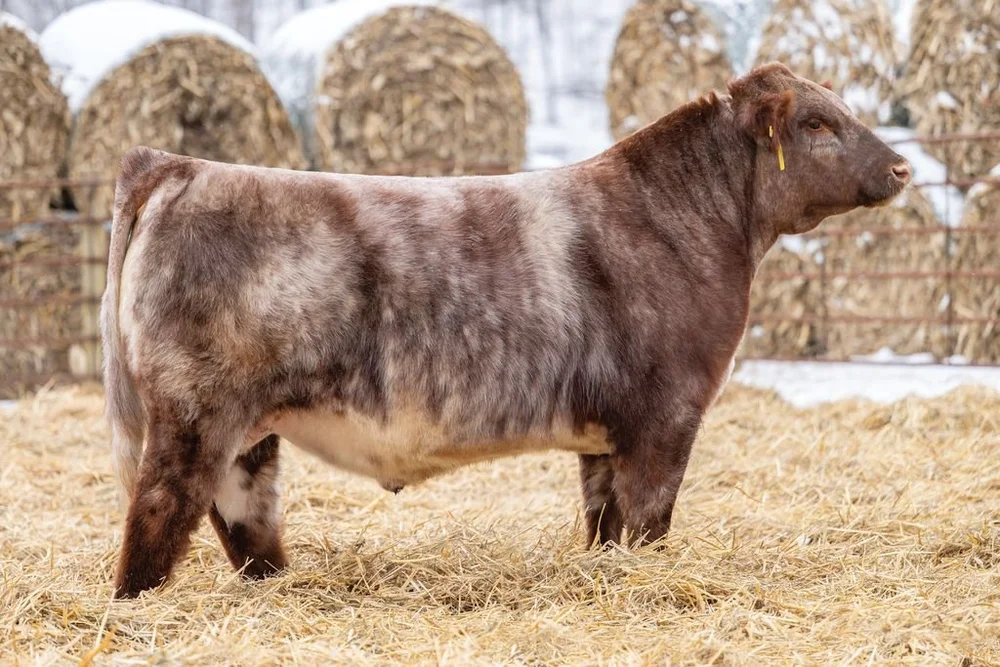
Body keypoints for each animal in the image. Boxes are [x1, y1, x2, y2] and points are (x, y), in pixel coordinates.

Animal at [101, 63, 911, 598]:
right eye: (816, 124)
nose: (903, 167)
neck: (687, 221)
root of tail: (178, 165)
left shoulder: (605, 438)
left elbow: (604, 523)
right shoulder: (666, 418)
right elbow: (648, 523)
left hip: (249, 436)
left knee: (244, 522)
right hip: (193, 416)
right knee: (157, 513)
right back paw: (140, 603)